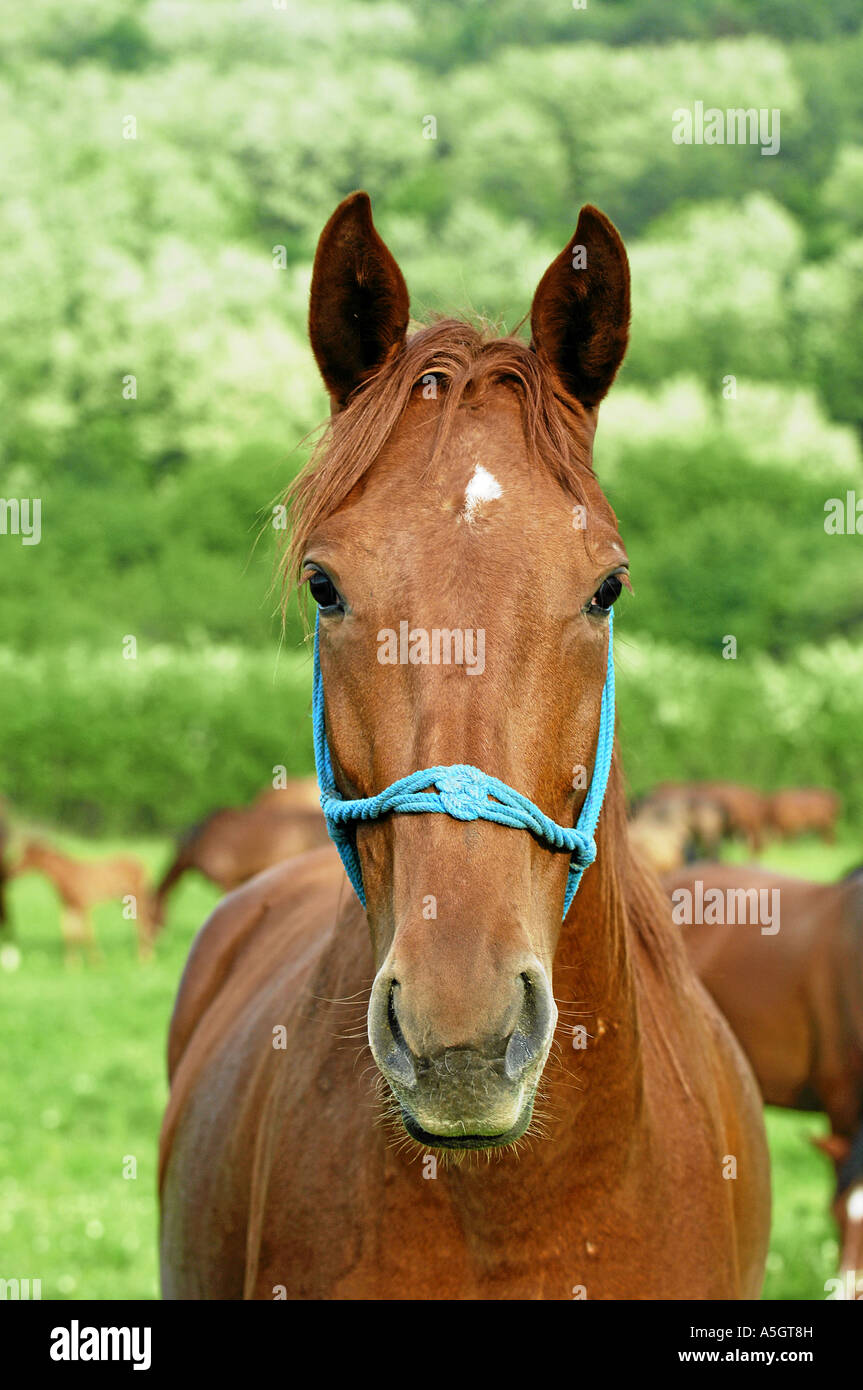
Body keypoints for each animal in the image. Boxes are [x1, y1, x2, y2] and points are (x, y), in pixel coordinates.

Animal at [11, 840, 155, 961]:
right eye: (21, 855)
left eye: (27, 857)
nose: (13, 870)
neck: (67, 875)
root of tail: (141, 863)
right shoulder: (70, 907)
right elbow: (70, 934)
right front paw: (72, 964)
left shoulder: (83, 907)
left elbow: (87, 934)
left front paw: (96, 962)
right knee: (140, 922)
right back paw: (144, 955)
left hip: (137, 896)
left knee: (144, 922)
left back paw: (145, 958)